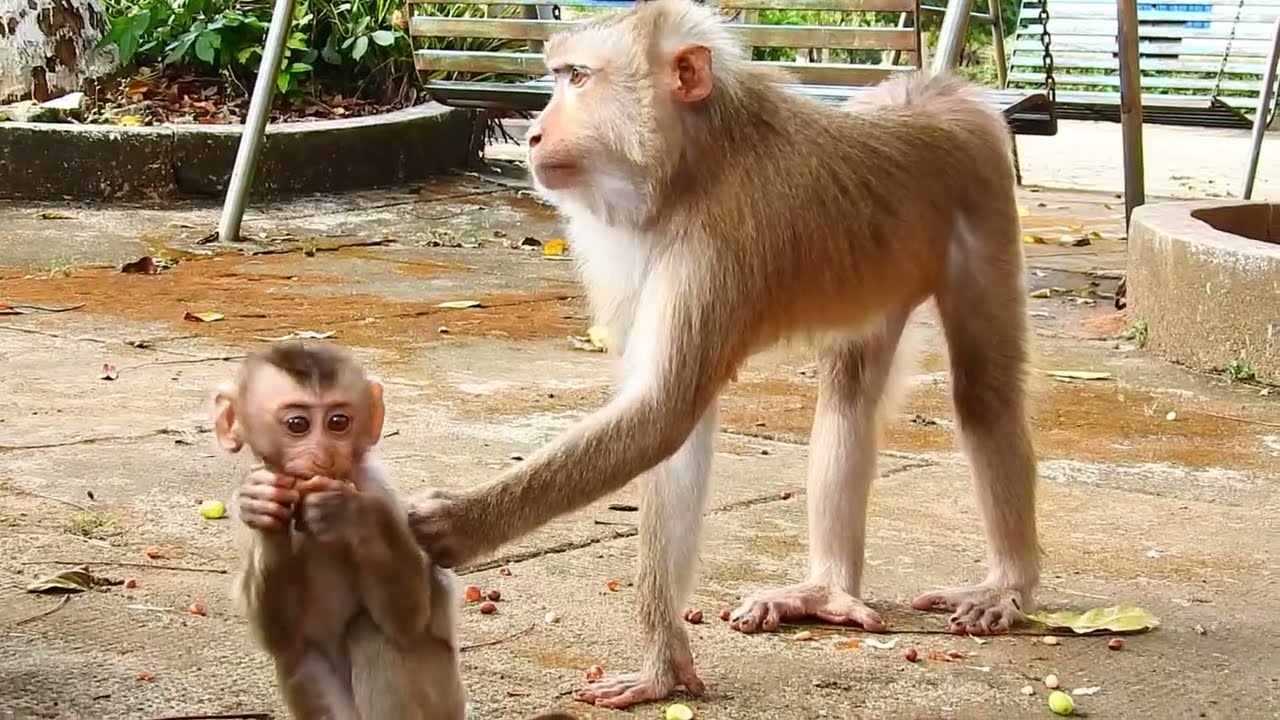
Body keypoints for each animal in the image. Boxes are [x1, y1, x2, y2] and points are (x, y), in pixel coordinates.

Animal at [215, 341, 466, 720]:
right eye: (298, 424)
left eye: (338, 422)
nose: (325, 456)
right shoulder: (241, 506)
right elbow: (281, 638)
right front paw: (267, 507)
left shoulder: (379, 490)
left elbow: (408, 623)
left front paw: (348, 512)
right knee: (297, 655)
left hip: (445, 702)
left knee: (370, 634)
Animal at [406, 0, 1040, 709]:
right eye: (557, 76)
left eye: (578, 78)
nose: (535, 135)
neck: (694, 162)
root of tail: (936, 92)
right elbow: (672, 429)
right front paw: (663, 664)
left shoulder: (717, 240)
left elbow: (665, 411)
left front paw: (458, 523)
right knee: (849, 390)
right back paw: (826, 588)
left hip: (985, 193)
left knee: (983, 393)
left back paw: (1008, 585)